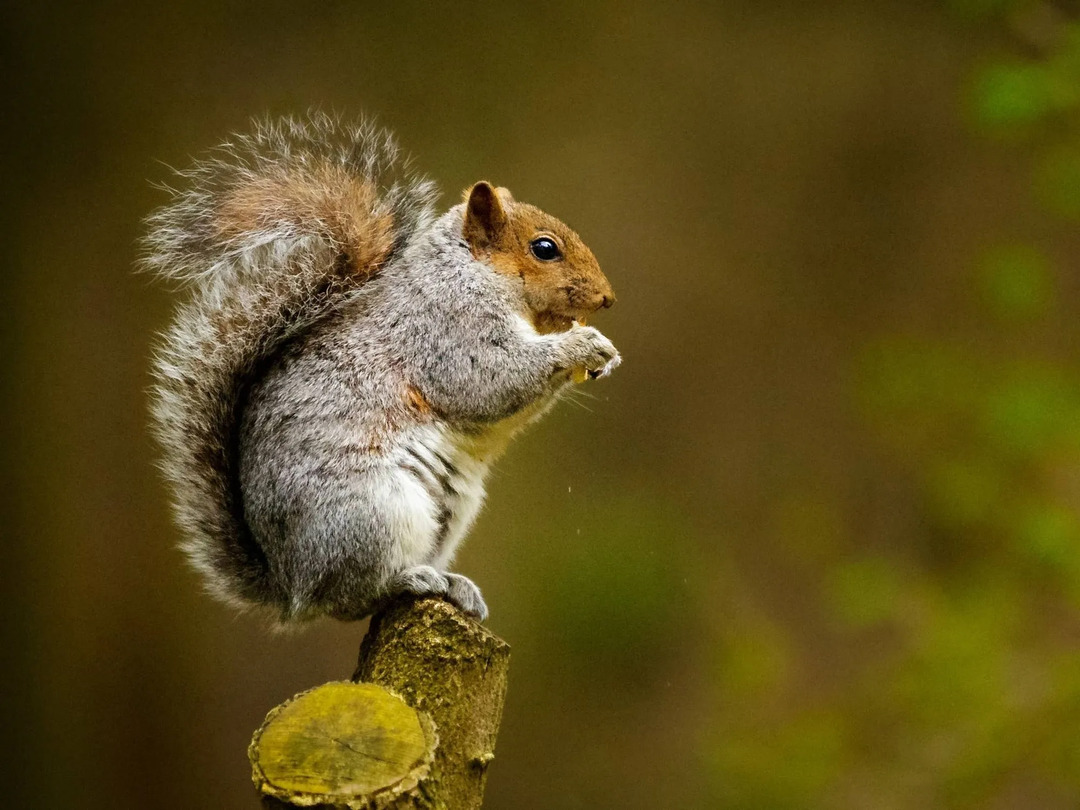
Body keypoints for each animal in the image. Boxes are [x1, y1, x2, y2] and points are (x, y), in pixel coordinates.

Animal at [141, 114, 626, 626]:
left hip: (449, 513)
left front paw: (604, 355)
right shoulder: (446, 332)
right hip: (374, 512)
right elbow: (491, 381)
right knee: (350, 598)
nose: (607, 298)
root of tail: (290, 584)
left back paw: (454, 585)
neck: (470, 272)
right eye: (544, 248)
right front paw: (582, 344)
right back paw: (408, 580)